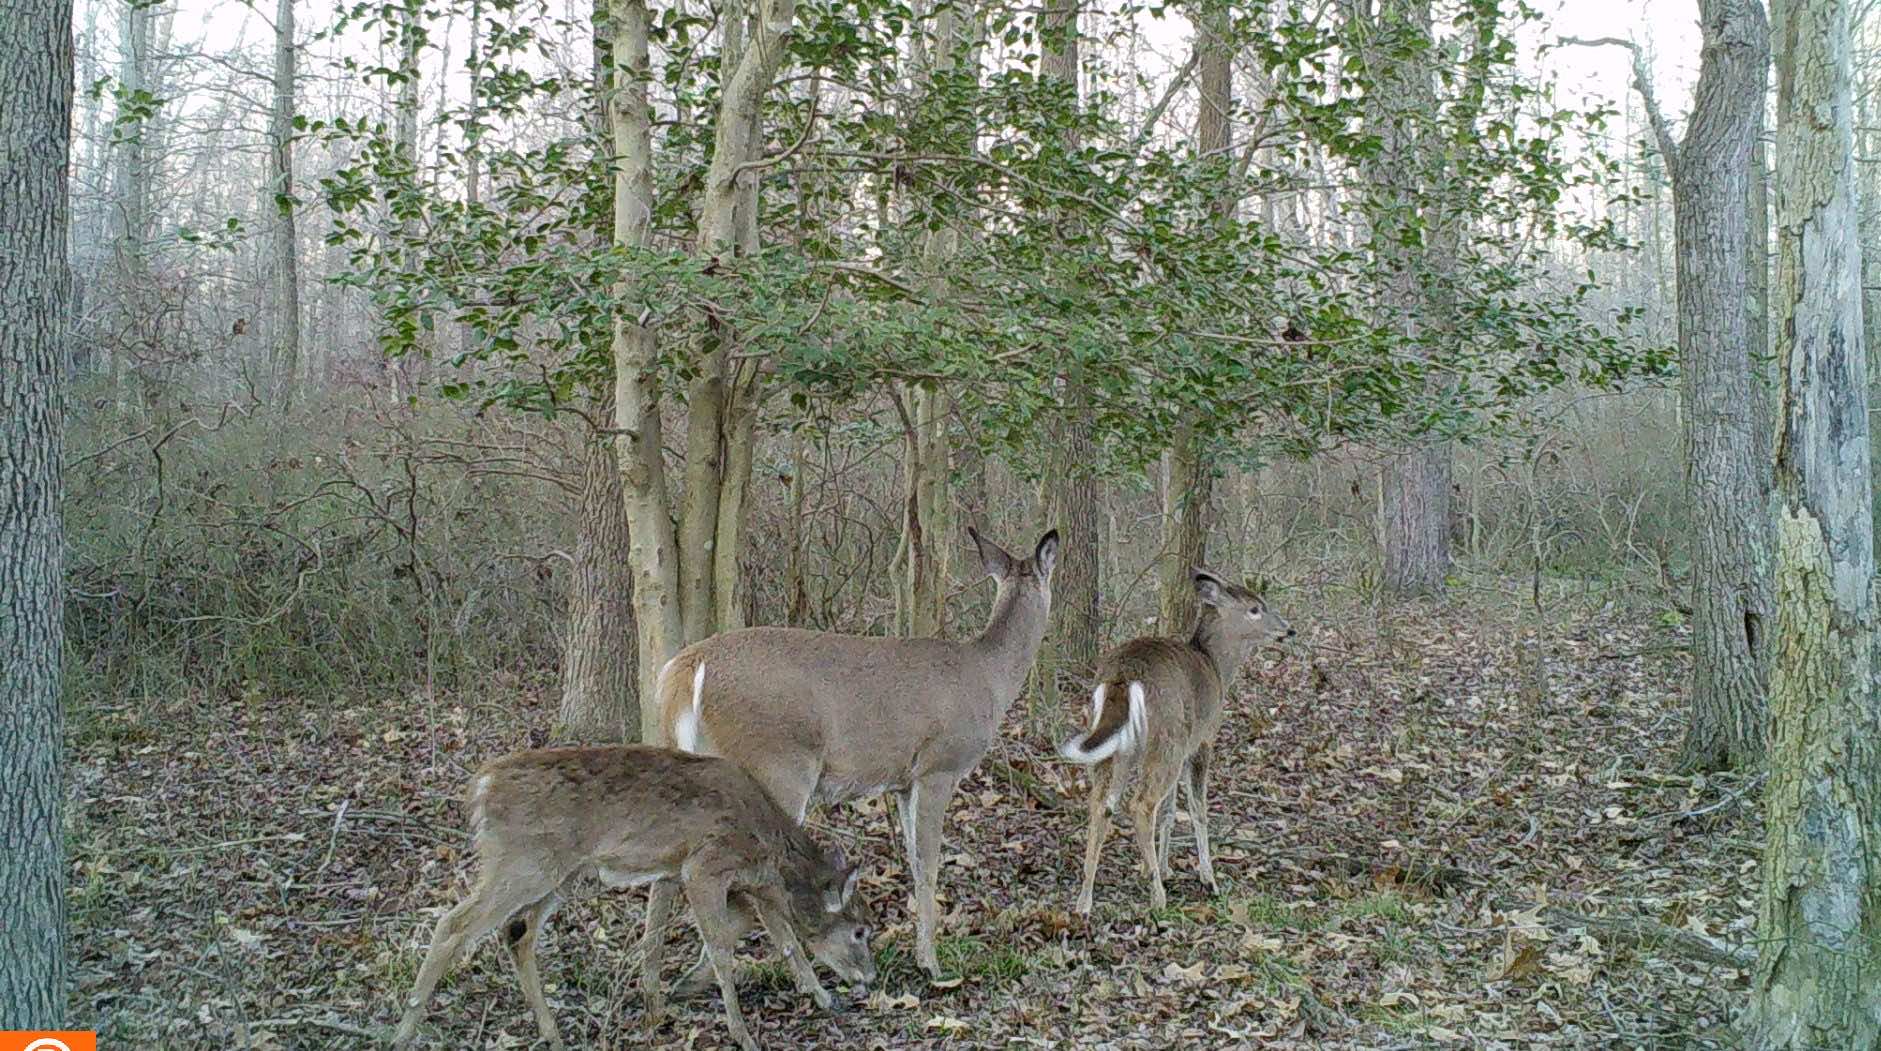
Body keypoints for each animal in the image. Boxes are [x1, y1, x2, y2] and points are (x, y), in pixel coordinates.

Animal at [388, 745, 876, 1051]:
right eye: (860, 930)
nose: (870, 976)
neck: (766, 845)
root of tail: (481, 787)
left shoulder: (706, 876)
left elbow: (770, 932)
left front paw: (820, 996)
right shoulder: (703, 864)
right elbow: (724, 946)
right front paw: (743, 1034)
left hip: (561, 874)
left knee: (517, 934)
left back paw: (553, 1035)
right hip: (522, 862)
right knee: (453, 924)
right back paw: (403, 1030)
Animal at [645, 527, 1059, 980]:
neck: (988, 676)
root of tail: (686, 667)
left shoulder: (903, 781)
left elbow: (913, 859)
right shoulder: (939, 765)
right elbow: (929, 865)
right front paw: (933, 964)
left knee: (667, 869)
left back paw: (658, 982)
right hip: (776, 764)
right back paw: (798, 975)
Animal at [1058, 570, 1292, 914]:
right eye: (1254, 608)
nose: (1287, 629)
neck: (1216, 667)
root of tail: (1124, 676)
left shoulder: (1181, 750)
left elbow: (1169, 811)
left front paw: (1163, 867)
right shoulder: (1202, 739)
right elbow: (1197, 809)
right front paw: (1208, 879)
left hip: (1117, 746)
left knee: (1103, 804)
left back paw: (1084, 901)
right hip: (1165, 739)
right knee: (1141, 805)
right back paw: (1158, 897)